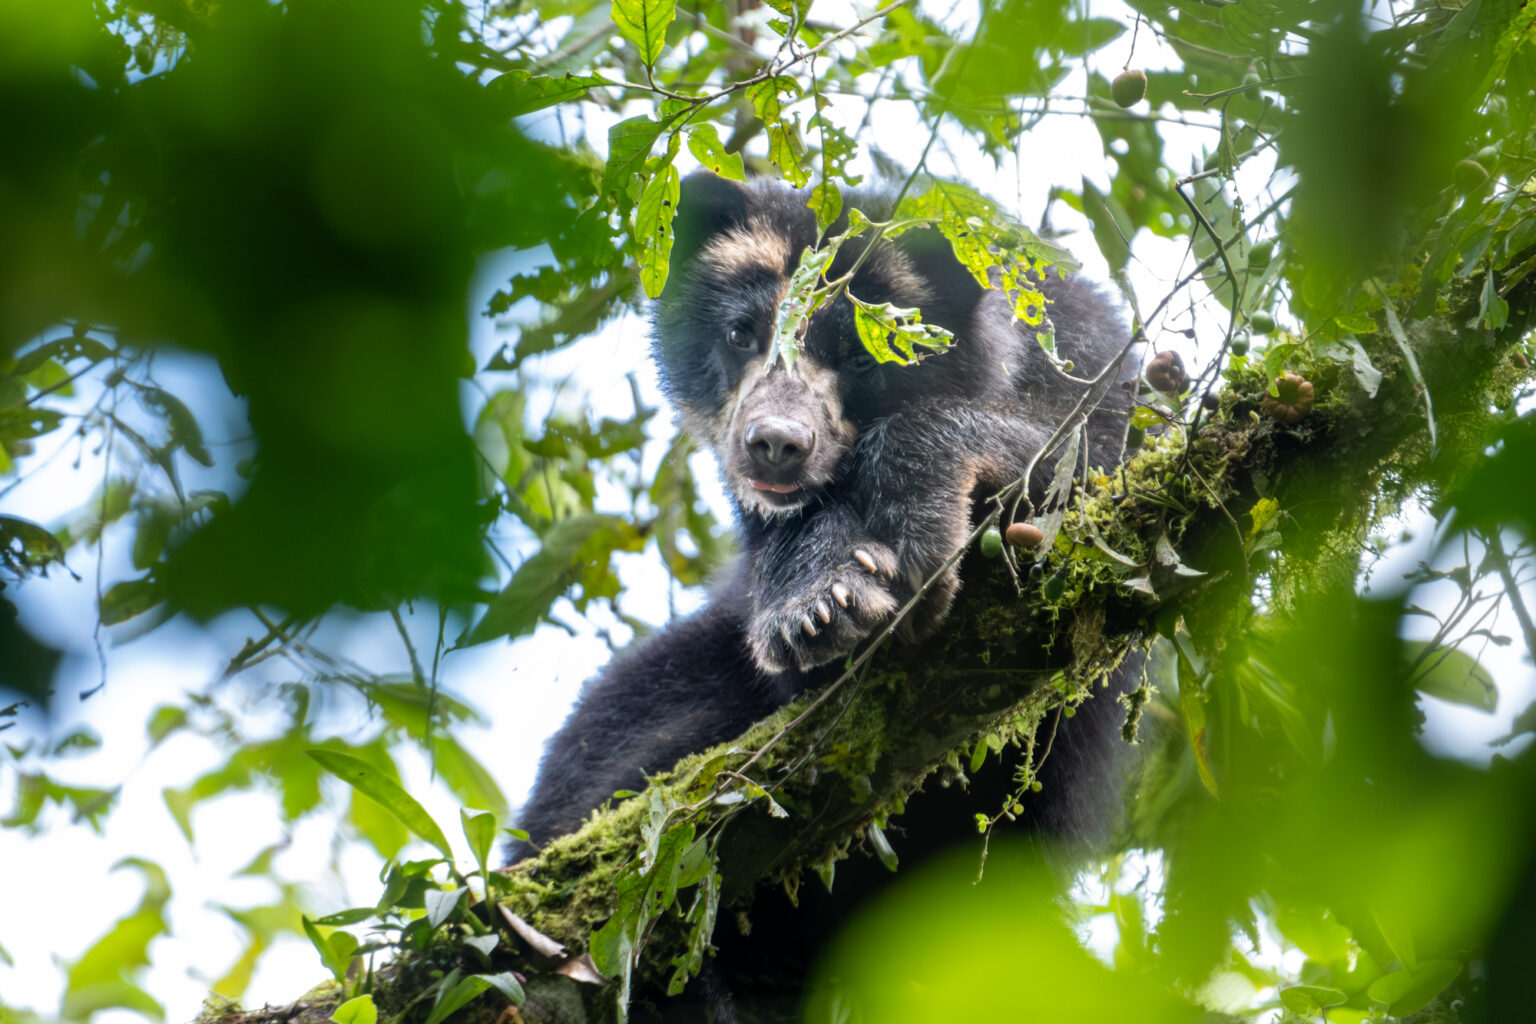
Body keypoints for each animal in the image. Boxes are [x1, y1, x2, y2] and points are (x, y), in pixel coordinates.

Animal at [507, 172, 1140, 1018]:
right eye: (741, 333)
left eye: (857, 352)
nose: (775, 443)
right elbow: (791, 654)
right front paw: (824, 607)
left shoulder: (1088, 359)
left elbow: (1089, 461)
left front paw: (912, 522)